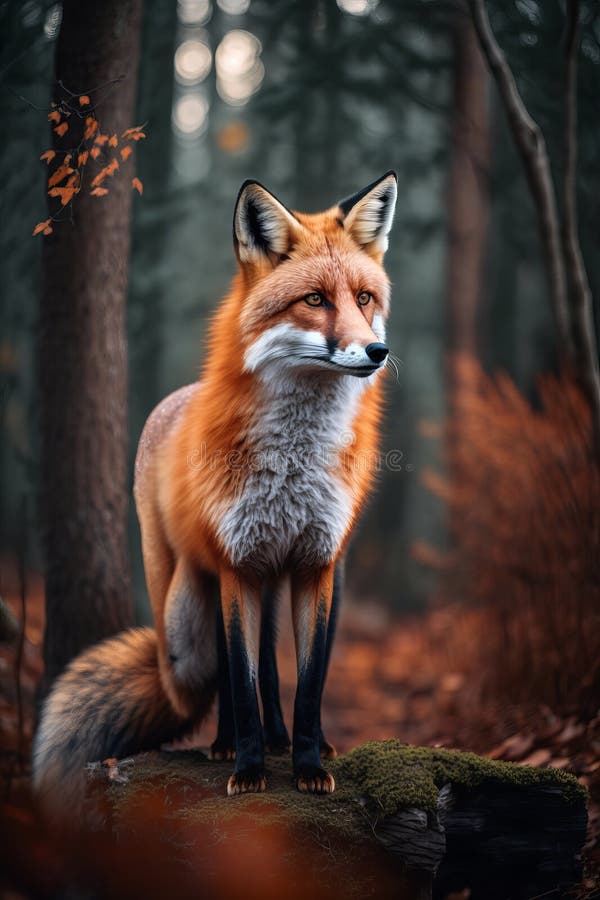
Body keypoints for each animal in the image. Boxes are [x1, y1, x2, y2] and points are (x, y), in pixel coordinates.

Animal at [33, 171, 398, 812]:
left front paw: (306, 763)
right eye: (315, 301)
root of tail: (174, 399)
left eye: (363, 298)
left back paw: (285, 741)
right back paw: (231, 745)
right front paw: (249, 768)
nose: (376, 353)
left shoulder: (316, 566)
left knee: (276, 669)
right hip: (188, 619)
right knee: (228, 672)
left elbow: (307, 684)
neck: (294, 465)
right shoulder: (238, 564)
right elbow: (244, 680)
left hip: (291, 580)